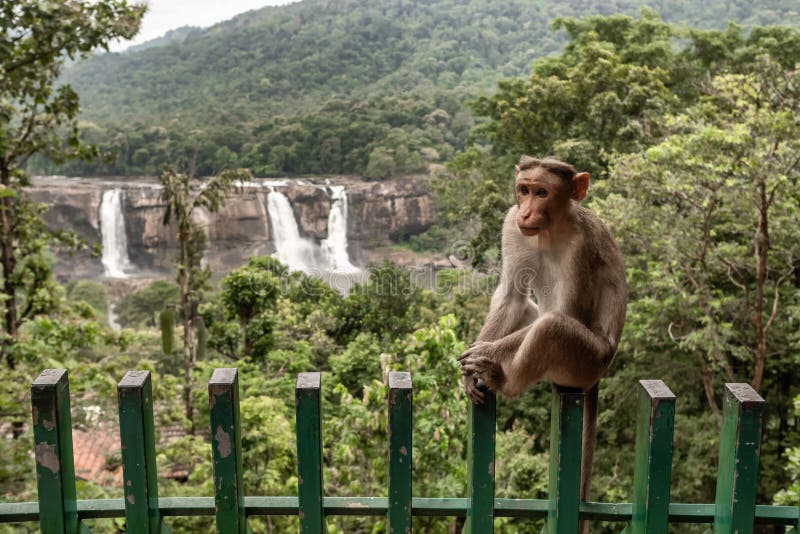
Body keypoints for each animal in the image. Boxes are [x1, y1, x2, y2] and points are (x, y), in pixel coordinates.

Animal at [458, 156, 627, 520]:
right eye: (524, 190)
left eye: (542, 192)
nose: (525, 212)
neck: (550, 230)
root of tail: (599, 375)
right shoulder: (511, 227)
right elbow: (511, 296)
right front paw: (469, 367)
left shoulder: (581, 248)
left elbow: (566, 313)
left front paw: (483, 352)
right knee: (528, 312)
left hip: (586, 363)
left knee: (551, 326)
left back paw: (502, 380)